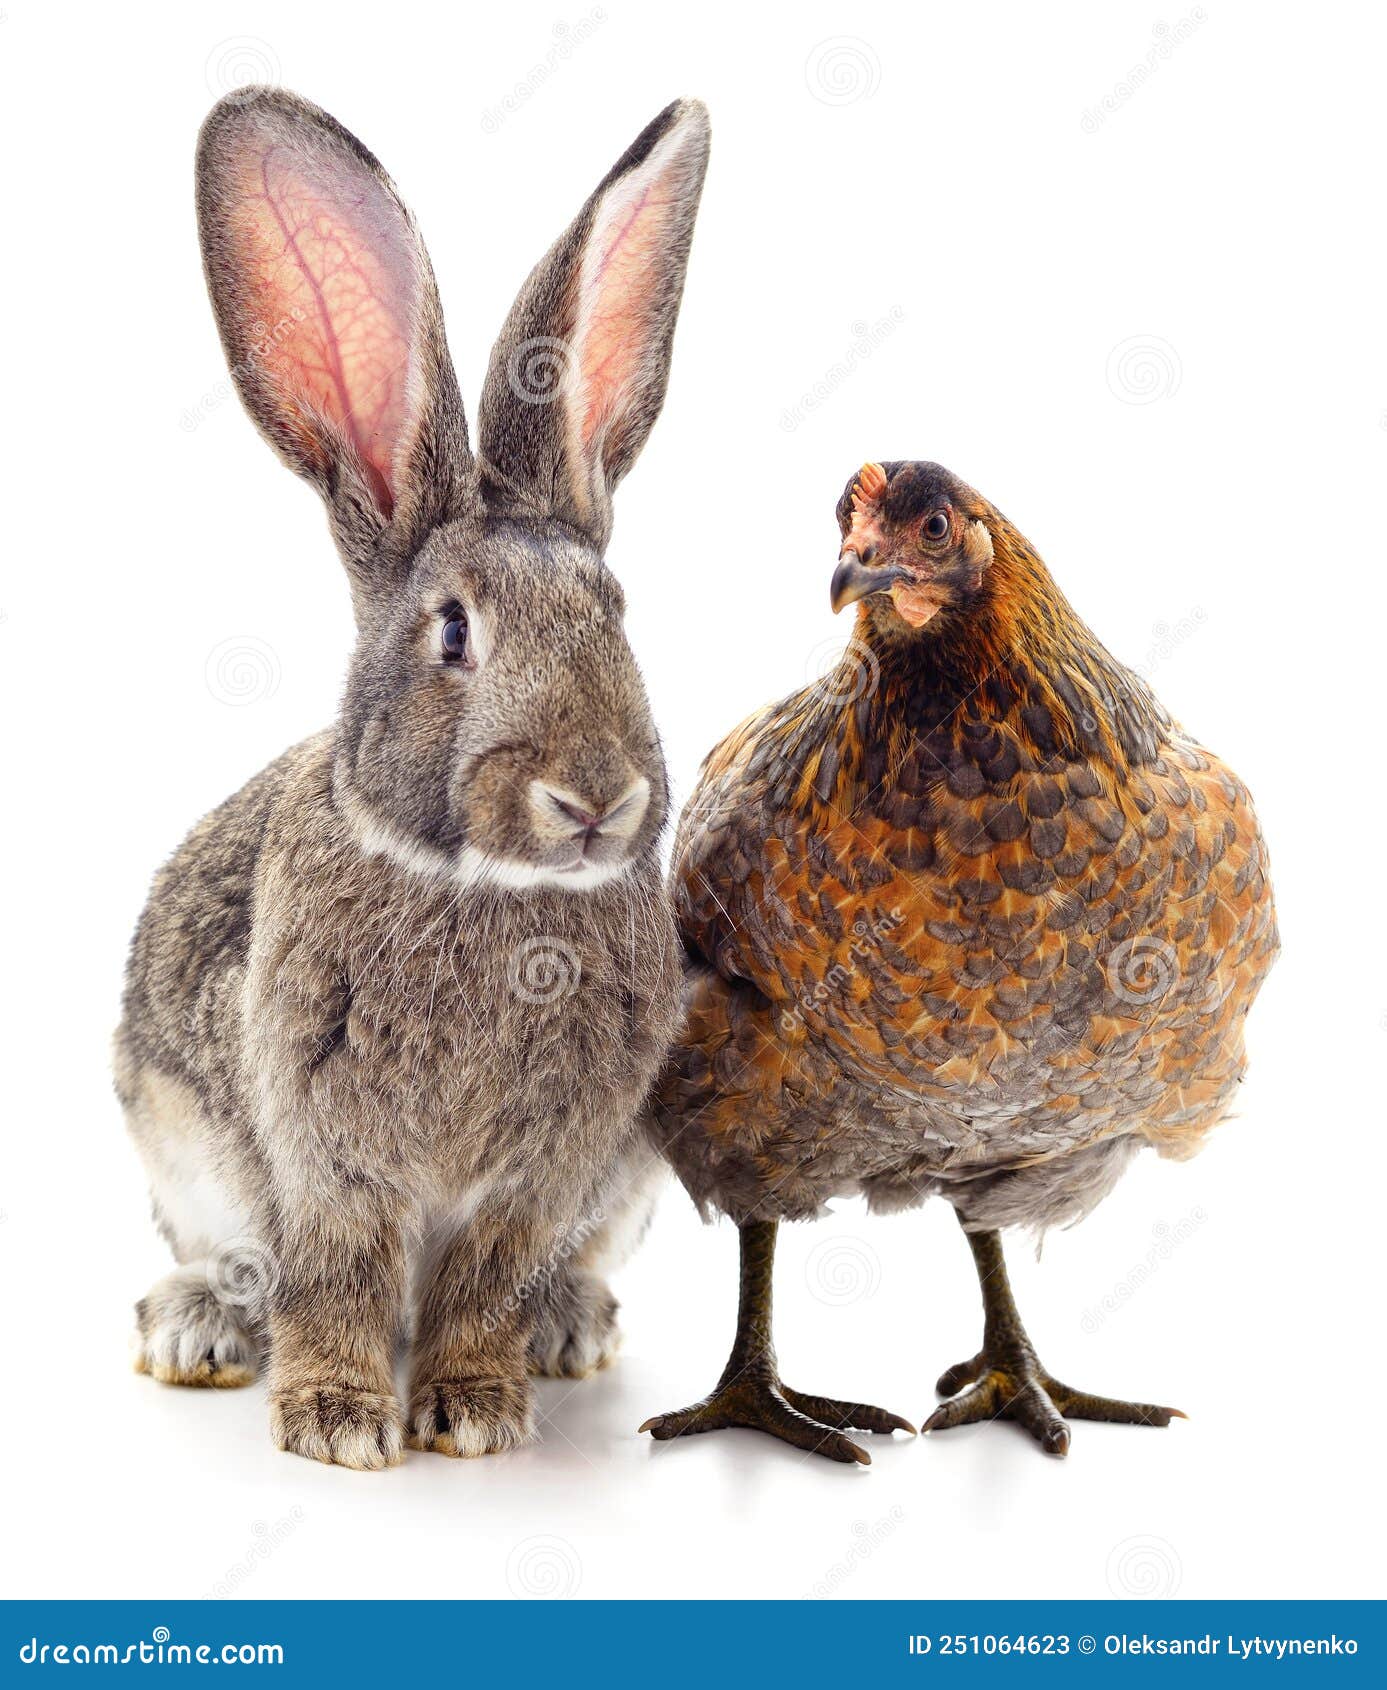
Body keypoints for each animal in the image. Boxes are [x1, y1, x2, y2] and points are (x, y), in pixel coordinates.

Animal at [114, 86, 709, 1469]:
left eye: (615, 613)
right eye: (452, 633)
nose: (595, 799)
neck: (480, 882)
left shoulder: (543, 1171)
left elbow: (486, 1278)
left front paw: (474, 1408)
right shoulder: (317, 1150)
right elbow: (330, 1275)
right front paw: (337, 1422)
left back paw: (568, 1328)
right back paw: (195, 1329)